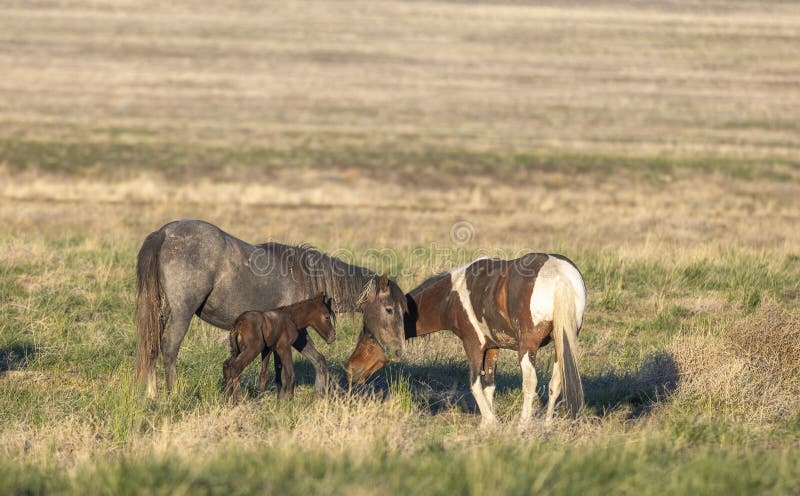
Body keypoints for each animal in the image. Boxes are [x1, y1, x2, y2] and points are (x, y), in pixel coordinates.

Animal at [135, 219, 407, 397]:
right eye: (389, 310)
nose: (399, 350)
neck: (308, 278)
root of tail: (164, 233)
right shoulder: (299, 333)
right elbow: (316, 361)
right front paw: (314, 395)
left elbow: (284, 367)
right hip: (182, 313)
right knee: (169, 348)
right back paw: (174, 394)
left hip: (161, 312)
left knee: (152, 346)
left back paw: (151, 394)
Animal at [346, 254, 586, 428]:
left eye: (369, 335)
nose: (350, 369)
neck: (451, 297)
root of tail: (559, 276)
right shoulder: (492, 348)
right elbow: (489, 386)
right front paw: (486, 423)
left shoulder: (473, 345)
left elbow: (474, 384)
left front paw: (490, 421)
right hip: (561, 343)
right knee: (556, 383)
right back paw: (546, 425)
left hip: (528, 348)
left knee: (530, 383)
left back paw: (523, 425)